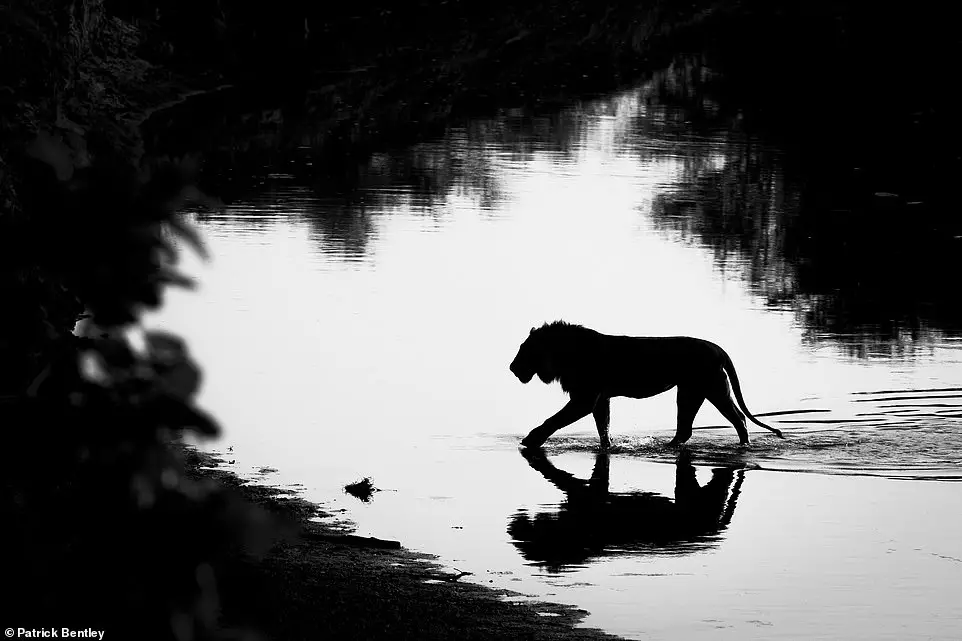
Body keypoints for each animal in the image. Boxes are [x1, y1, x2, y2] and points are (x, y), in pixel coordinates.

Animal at [506, 320, 784, 450]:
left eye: (524, 350)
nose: (511, 368)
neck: (565, 354)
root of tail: (717, 348)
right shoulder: (600, 399)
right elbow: (603, 427)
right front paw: (608, 447)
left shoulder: (584, 398)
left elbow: (554, 419)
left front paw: (531, 440)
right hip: (693, 392)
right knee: (692, 429)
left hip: (708, 389)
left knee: (738, 419)